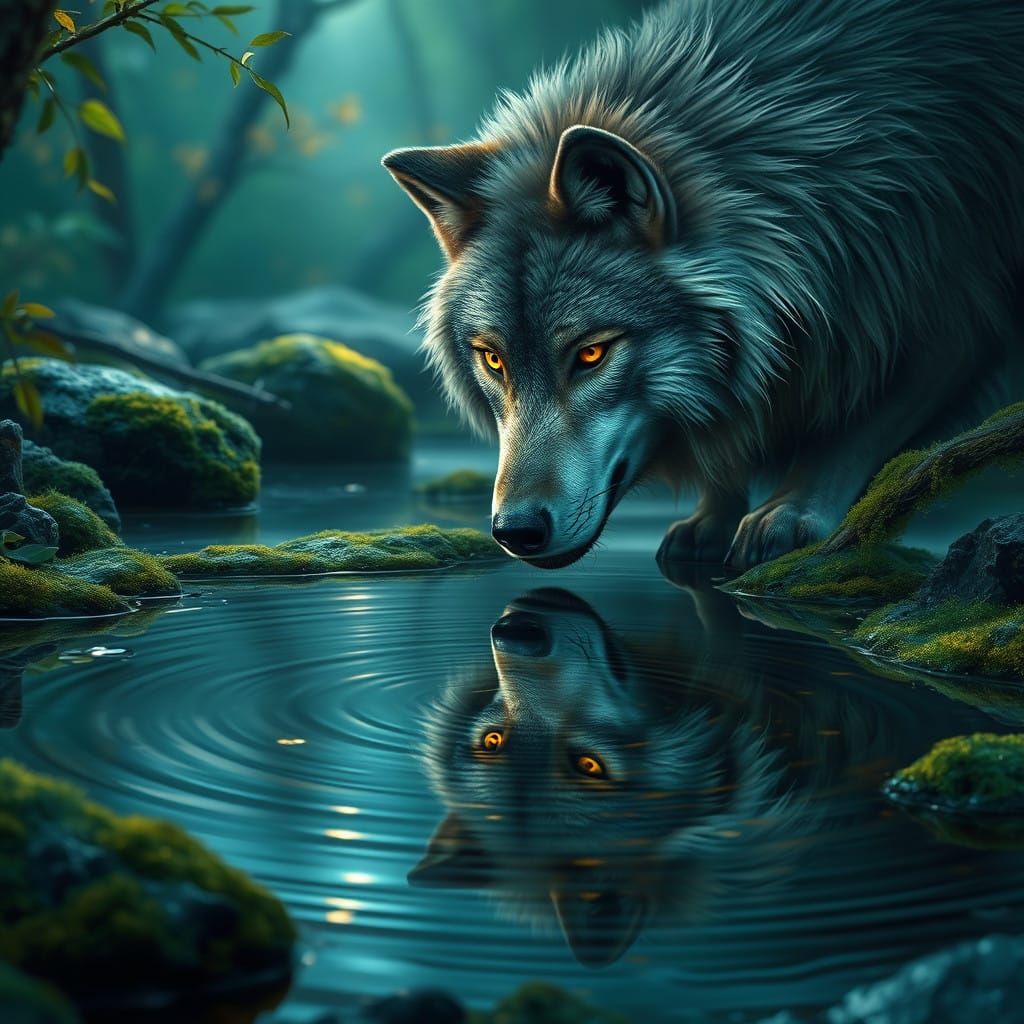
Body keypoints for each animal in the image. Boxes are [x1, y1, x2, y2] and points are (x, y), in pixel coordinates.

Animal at [383, 0, 1024, 568]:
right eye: (493, 360)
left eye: (591, 354)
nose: (515, 531)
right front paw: (713, 517)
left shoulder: (960, 313)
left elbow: (858, 425)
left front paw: (789, 511)